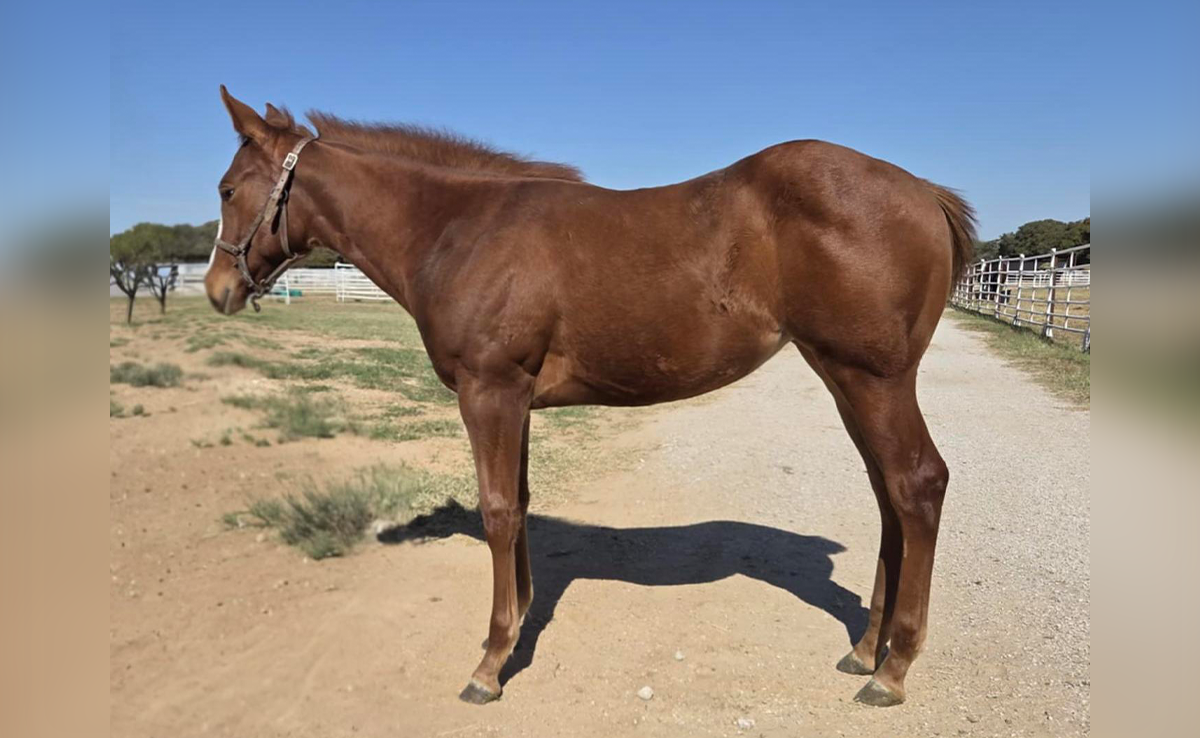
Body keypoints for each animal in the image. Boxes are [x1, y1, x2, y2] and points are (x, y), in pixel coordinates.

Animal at [205, 86, 976, 708]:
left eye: (226, 189)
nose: (218, 289)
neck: (460, 227)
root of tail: (921, 191)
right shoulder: (512, 401)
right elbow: (517, 506)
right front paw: (515, 630)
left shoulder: (489, 391)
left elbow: (497, 512)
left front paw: (489, 663)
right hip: (844, 379)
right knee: (888, 495)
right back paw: (865, 649)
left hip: (872, 379)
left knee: (917, 485)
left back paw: (893, 669)